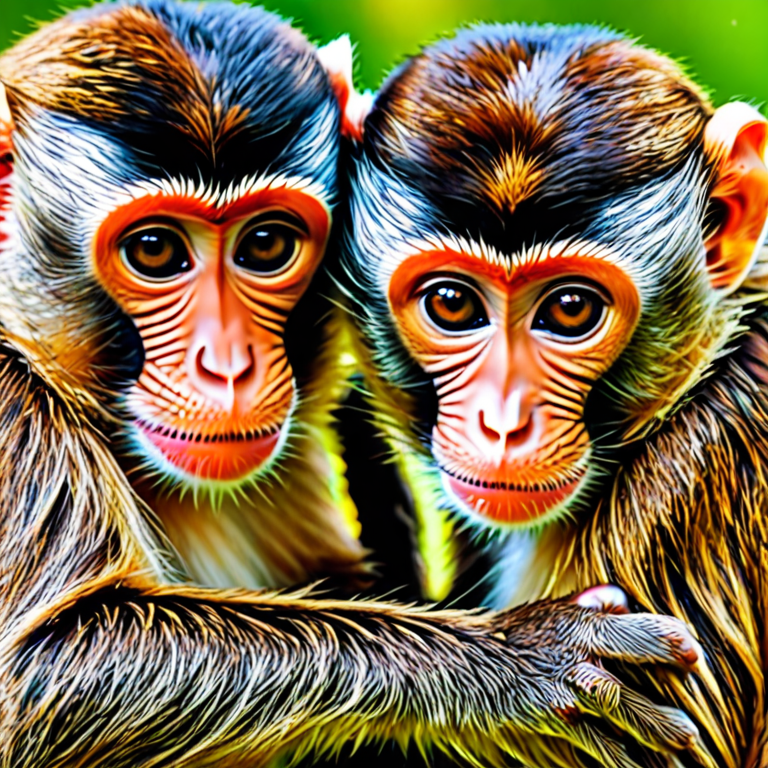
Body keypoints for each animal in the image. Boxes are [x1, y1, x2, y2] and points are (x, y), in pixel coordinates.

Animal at [0, 5, 707, 767]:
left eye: (266, 245)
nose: (227, 366)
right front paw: (522, 658)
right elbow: (39, 674)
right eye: (154, 250)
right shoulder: (13, 408)